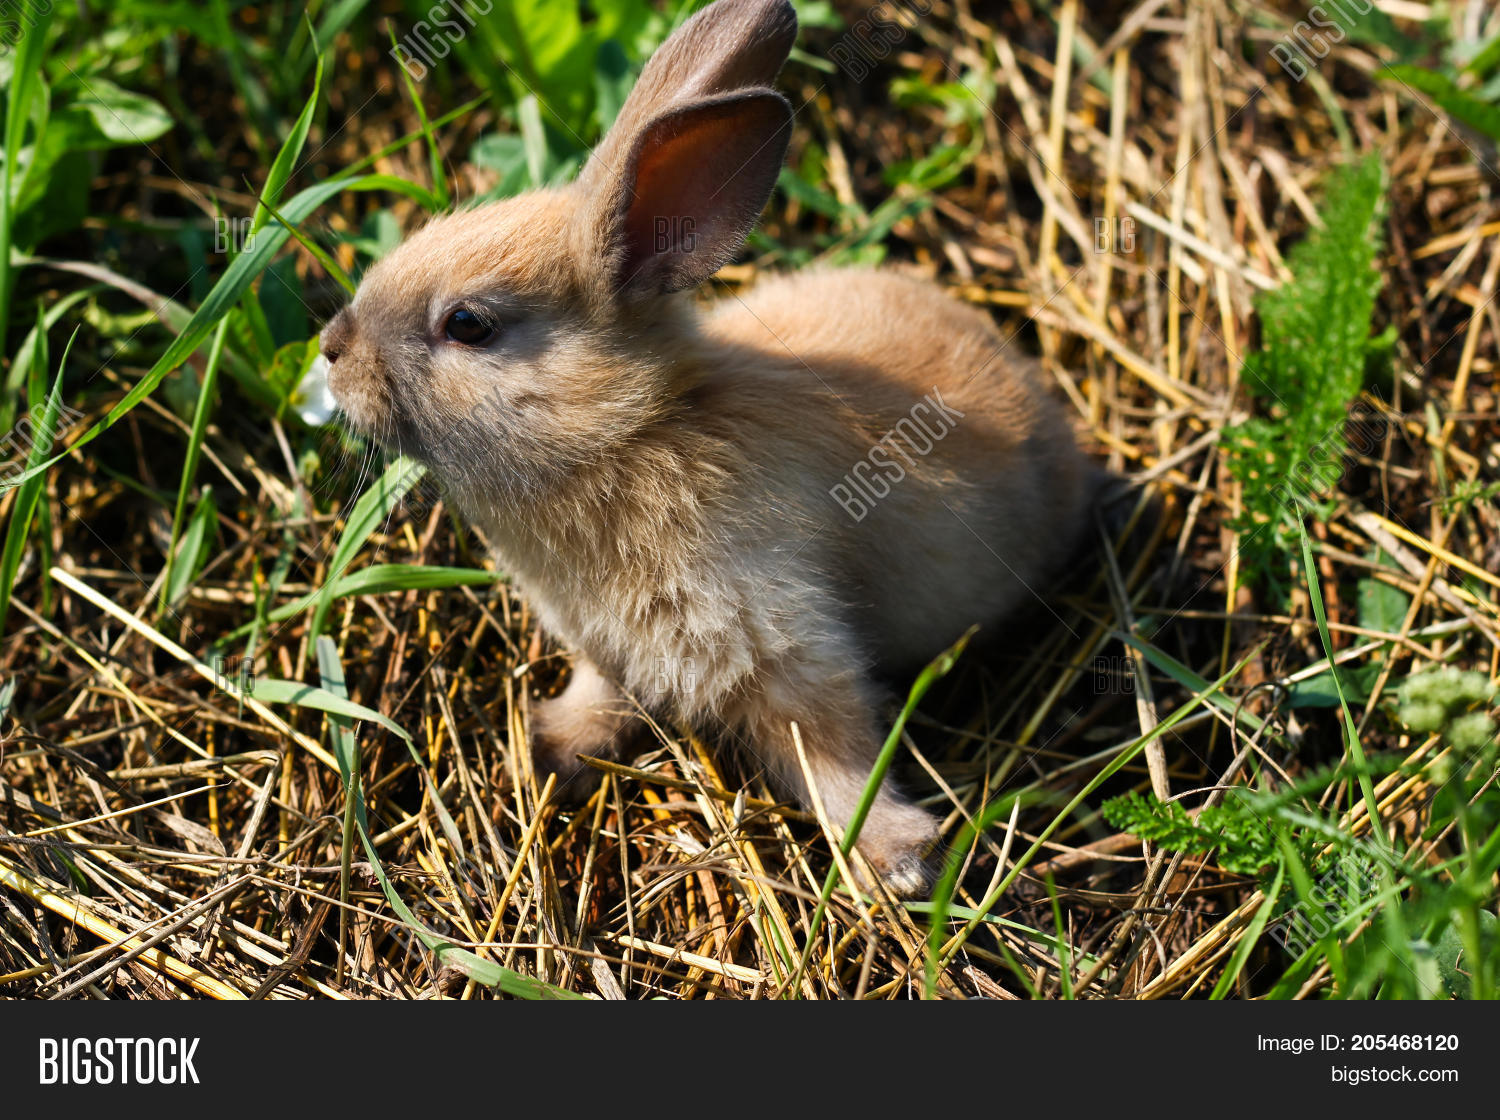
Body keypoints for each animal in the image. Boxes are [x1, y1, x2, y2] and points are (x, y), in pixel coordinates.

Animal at [319, 0, 1094, 897]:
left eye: (468, 324)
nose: (332, 349)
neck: (631, 428)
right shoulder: (608, 648)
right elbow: (603, 694)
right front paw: (553, 744)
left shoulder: (787, 644)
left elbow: (835, 751)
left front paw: (897, 857)